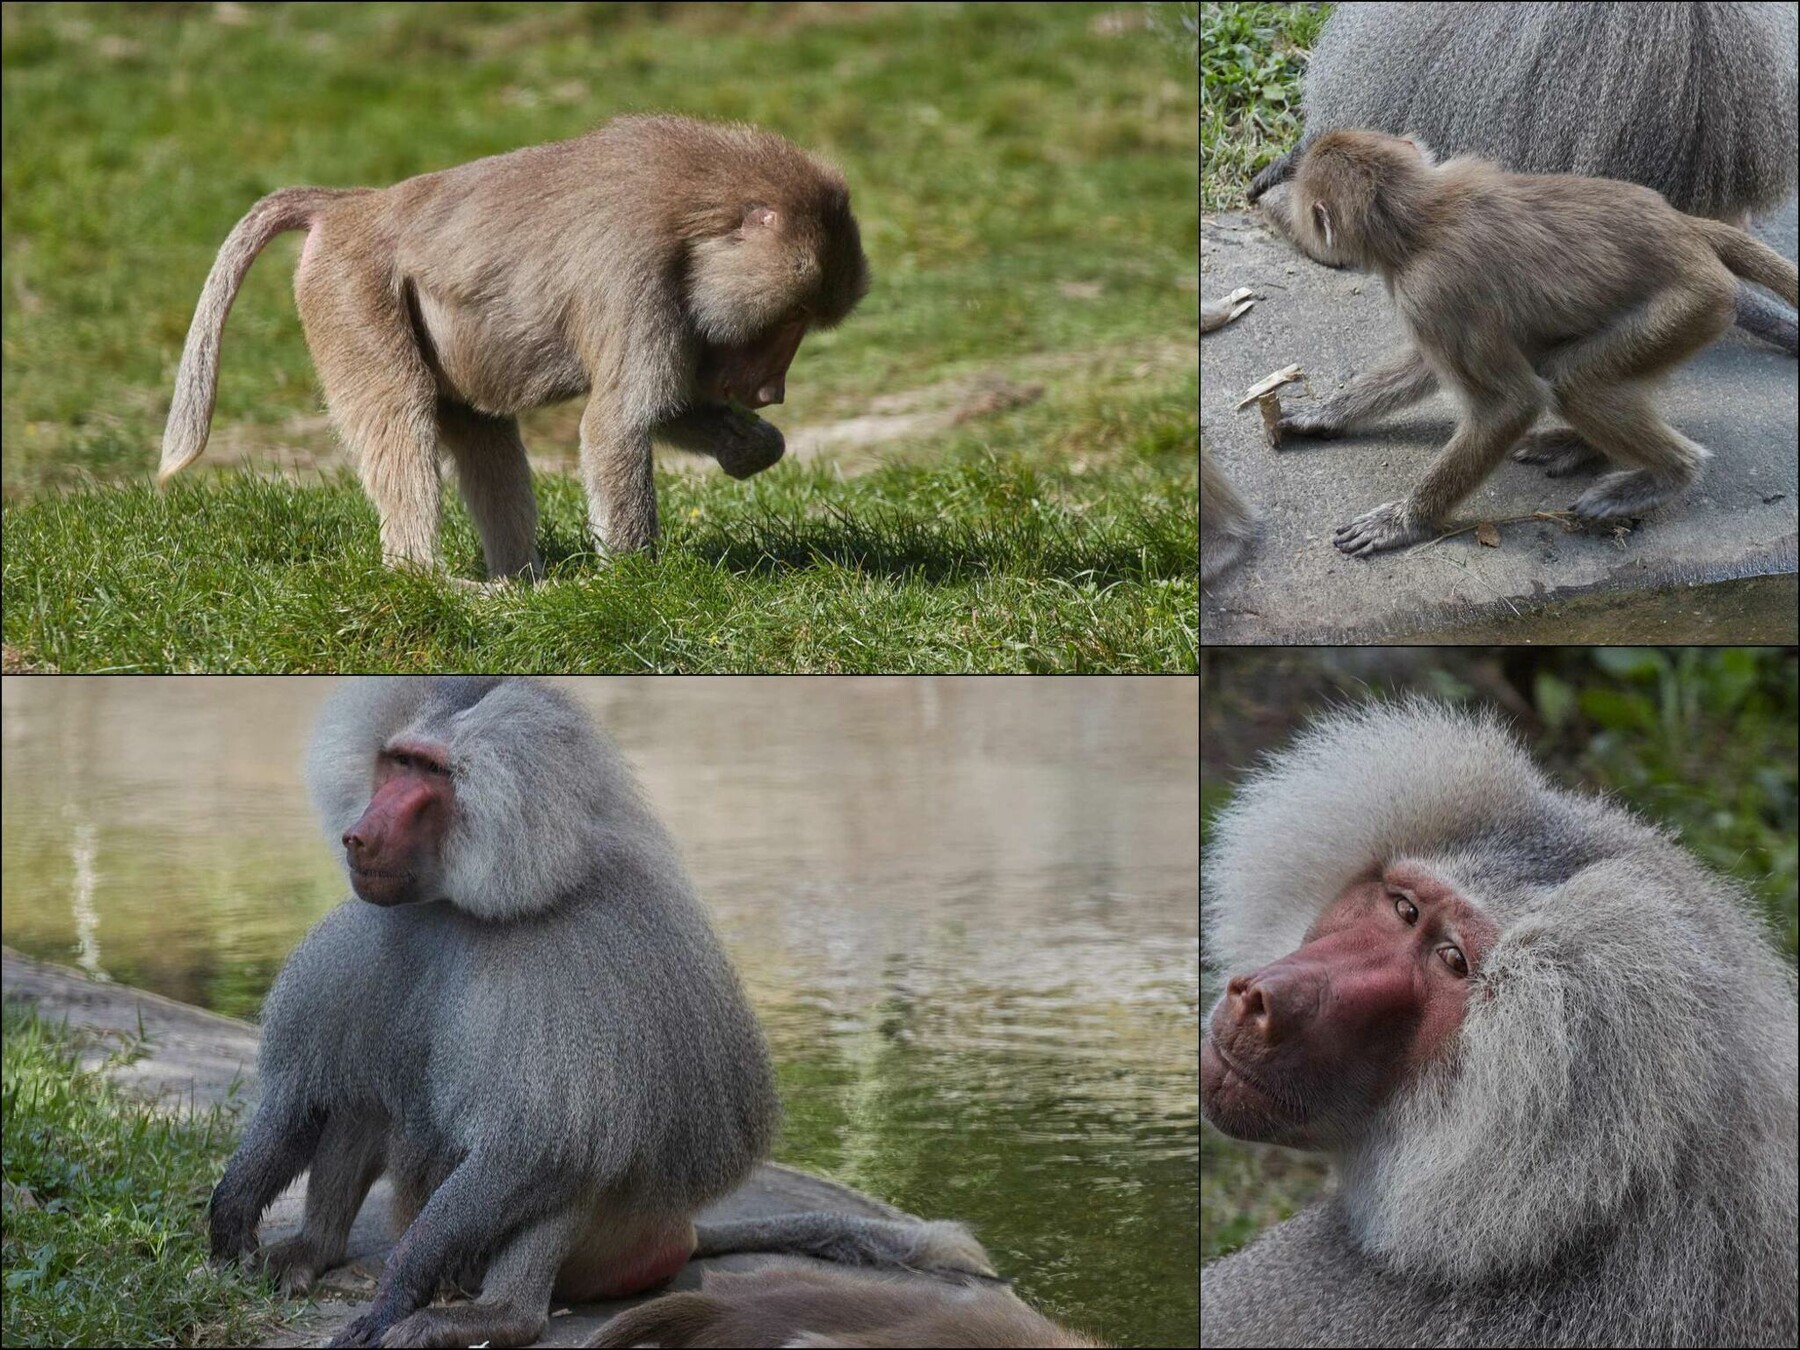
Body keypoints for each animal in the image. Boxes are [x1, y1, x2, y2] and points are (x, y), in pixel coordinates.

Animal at [159, 116, 870, 580]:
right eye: (793, 315)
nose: (770, 391)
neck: (695, 213)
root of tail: (354, 207)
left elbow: (665, 408)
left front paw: (753, 447)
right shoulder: (632, 271)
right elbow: (619, 422)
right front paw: (636, 586)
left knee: (479, 429)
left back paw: (519, 585)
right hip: (351, 292)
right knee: (401, 416)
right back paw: (428, 579)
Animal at [209, 677, 1007, 1348]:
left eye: (431, 774)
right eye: (395, 761)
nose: (358, 836)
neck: (462, 905)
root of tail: (684, 1235)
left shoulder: (582, 965)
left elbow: (538, 1147)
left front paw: (396, 1295)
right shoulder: (373, 933)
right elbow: (308, 1095)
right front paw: (231, 1215)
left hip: (615, 1243)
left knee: (575, 1151)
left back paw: (494, 1317)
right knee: (361, 1096)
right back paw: (312, 1252)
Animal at [1264, 130, 1799, 556]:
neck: (1423, 211)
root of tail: (1686, 227)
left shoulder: (1430, 293)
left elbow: (1510, 404)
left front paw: (1405, 521)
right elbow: (1428, 368)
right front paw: (1325, 414)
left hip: (1692, 305)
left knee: (1573, 380)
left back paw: (1669, 474)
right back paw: (1584, 446)